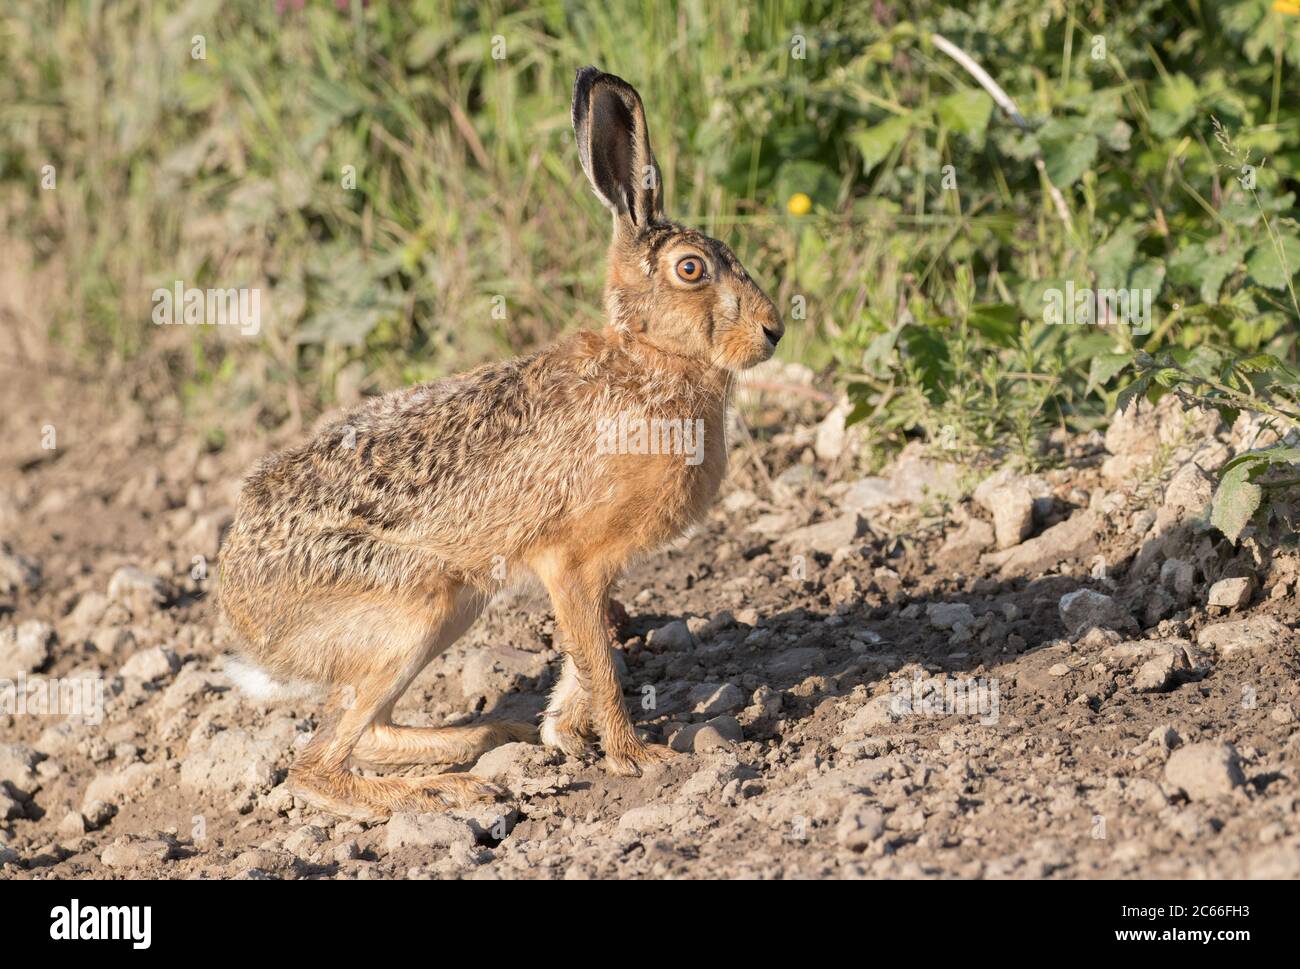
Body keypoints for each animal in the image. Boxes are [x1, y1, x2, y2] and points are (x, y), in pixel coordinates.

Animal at [217, 66, 784, 820]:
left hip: (449, 609)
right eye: (691, 269)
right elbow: (599, 661)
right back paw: (446, 788)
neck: (649, 358)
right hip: (414, 605)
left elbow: (588, 651)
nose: (775, 330)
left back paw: (494, 734)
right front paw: (635, 755)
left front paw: (560, 732)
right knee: (315, 766)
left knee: (368, 731)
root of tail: (238, 605)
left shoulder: (589, 574)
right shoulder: (570, 559)